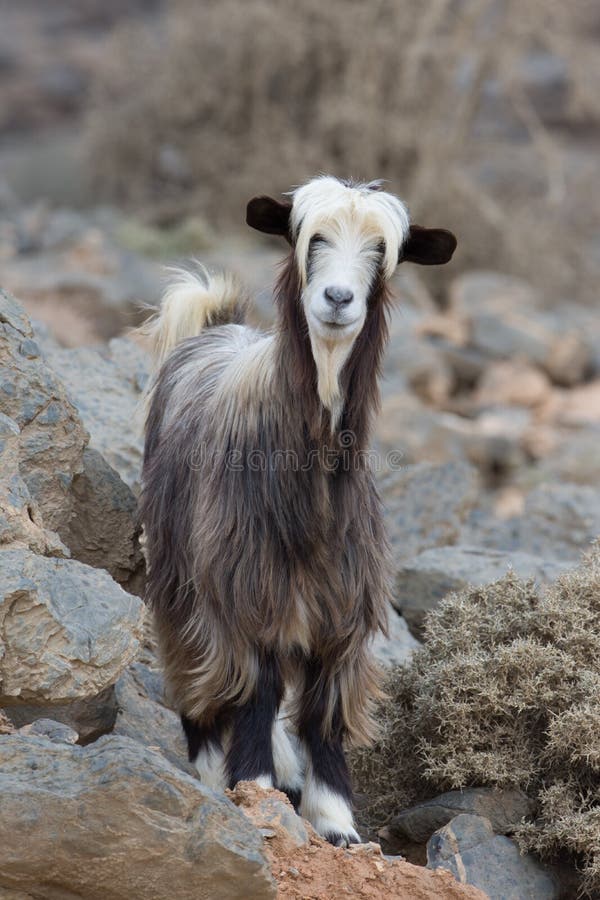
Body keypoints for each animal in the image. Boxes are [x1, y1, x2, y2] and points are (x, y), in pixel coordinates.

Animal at [140, 176, 456, 845]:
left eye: (383, 254)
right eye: (307, 238)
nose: (338, 298)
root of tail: (216, 327)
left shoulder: (343, 605)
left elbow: (324, 711)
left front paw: (335, 819)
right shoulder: (242, 589)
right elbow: (255, 691)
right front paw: (256, 786)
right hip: (179, 576)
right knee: (195, 675)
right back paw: (213, 771)